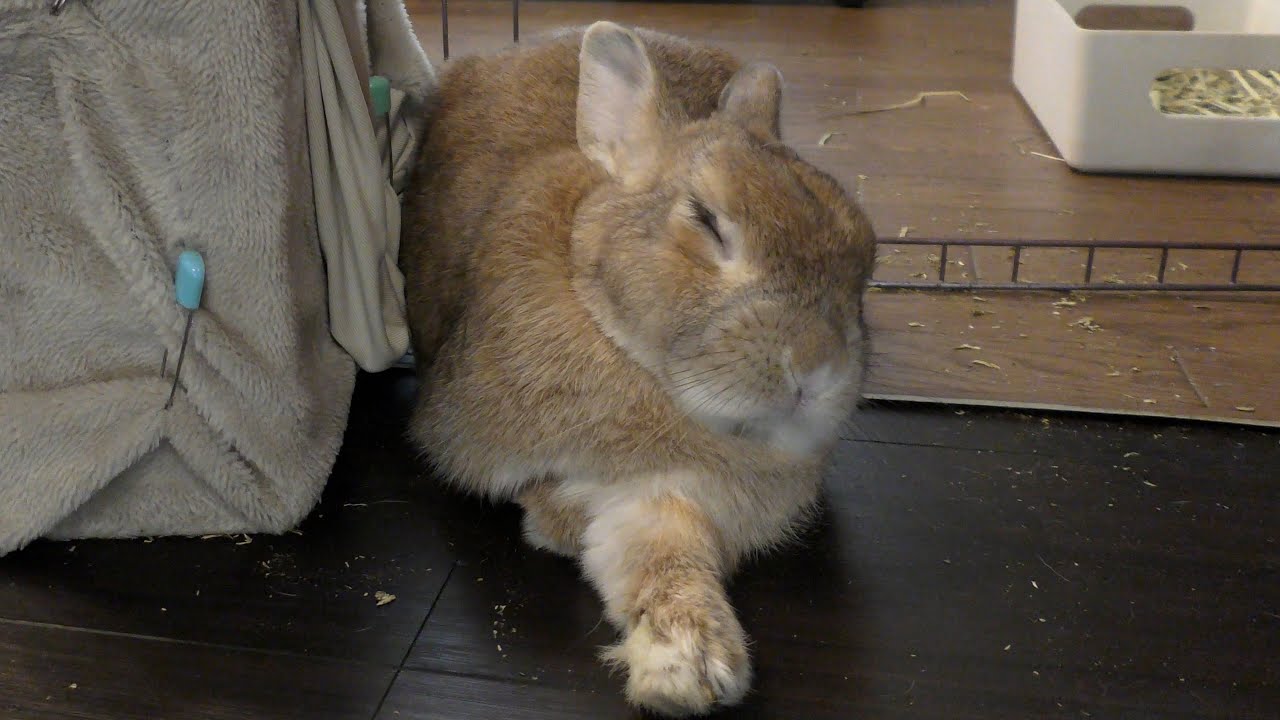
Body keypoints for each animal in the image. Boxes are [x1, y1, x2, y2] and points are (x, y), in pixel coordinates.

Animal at [399, 20, 876, 717]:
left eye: (866, 254)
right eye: (704, 219)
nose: (818, 366)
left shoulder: (664, 499)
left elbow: (663, 557)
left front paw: (691, 669)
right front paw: (558, 525)